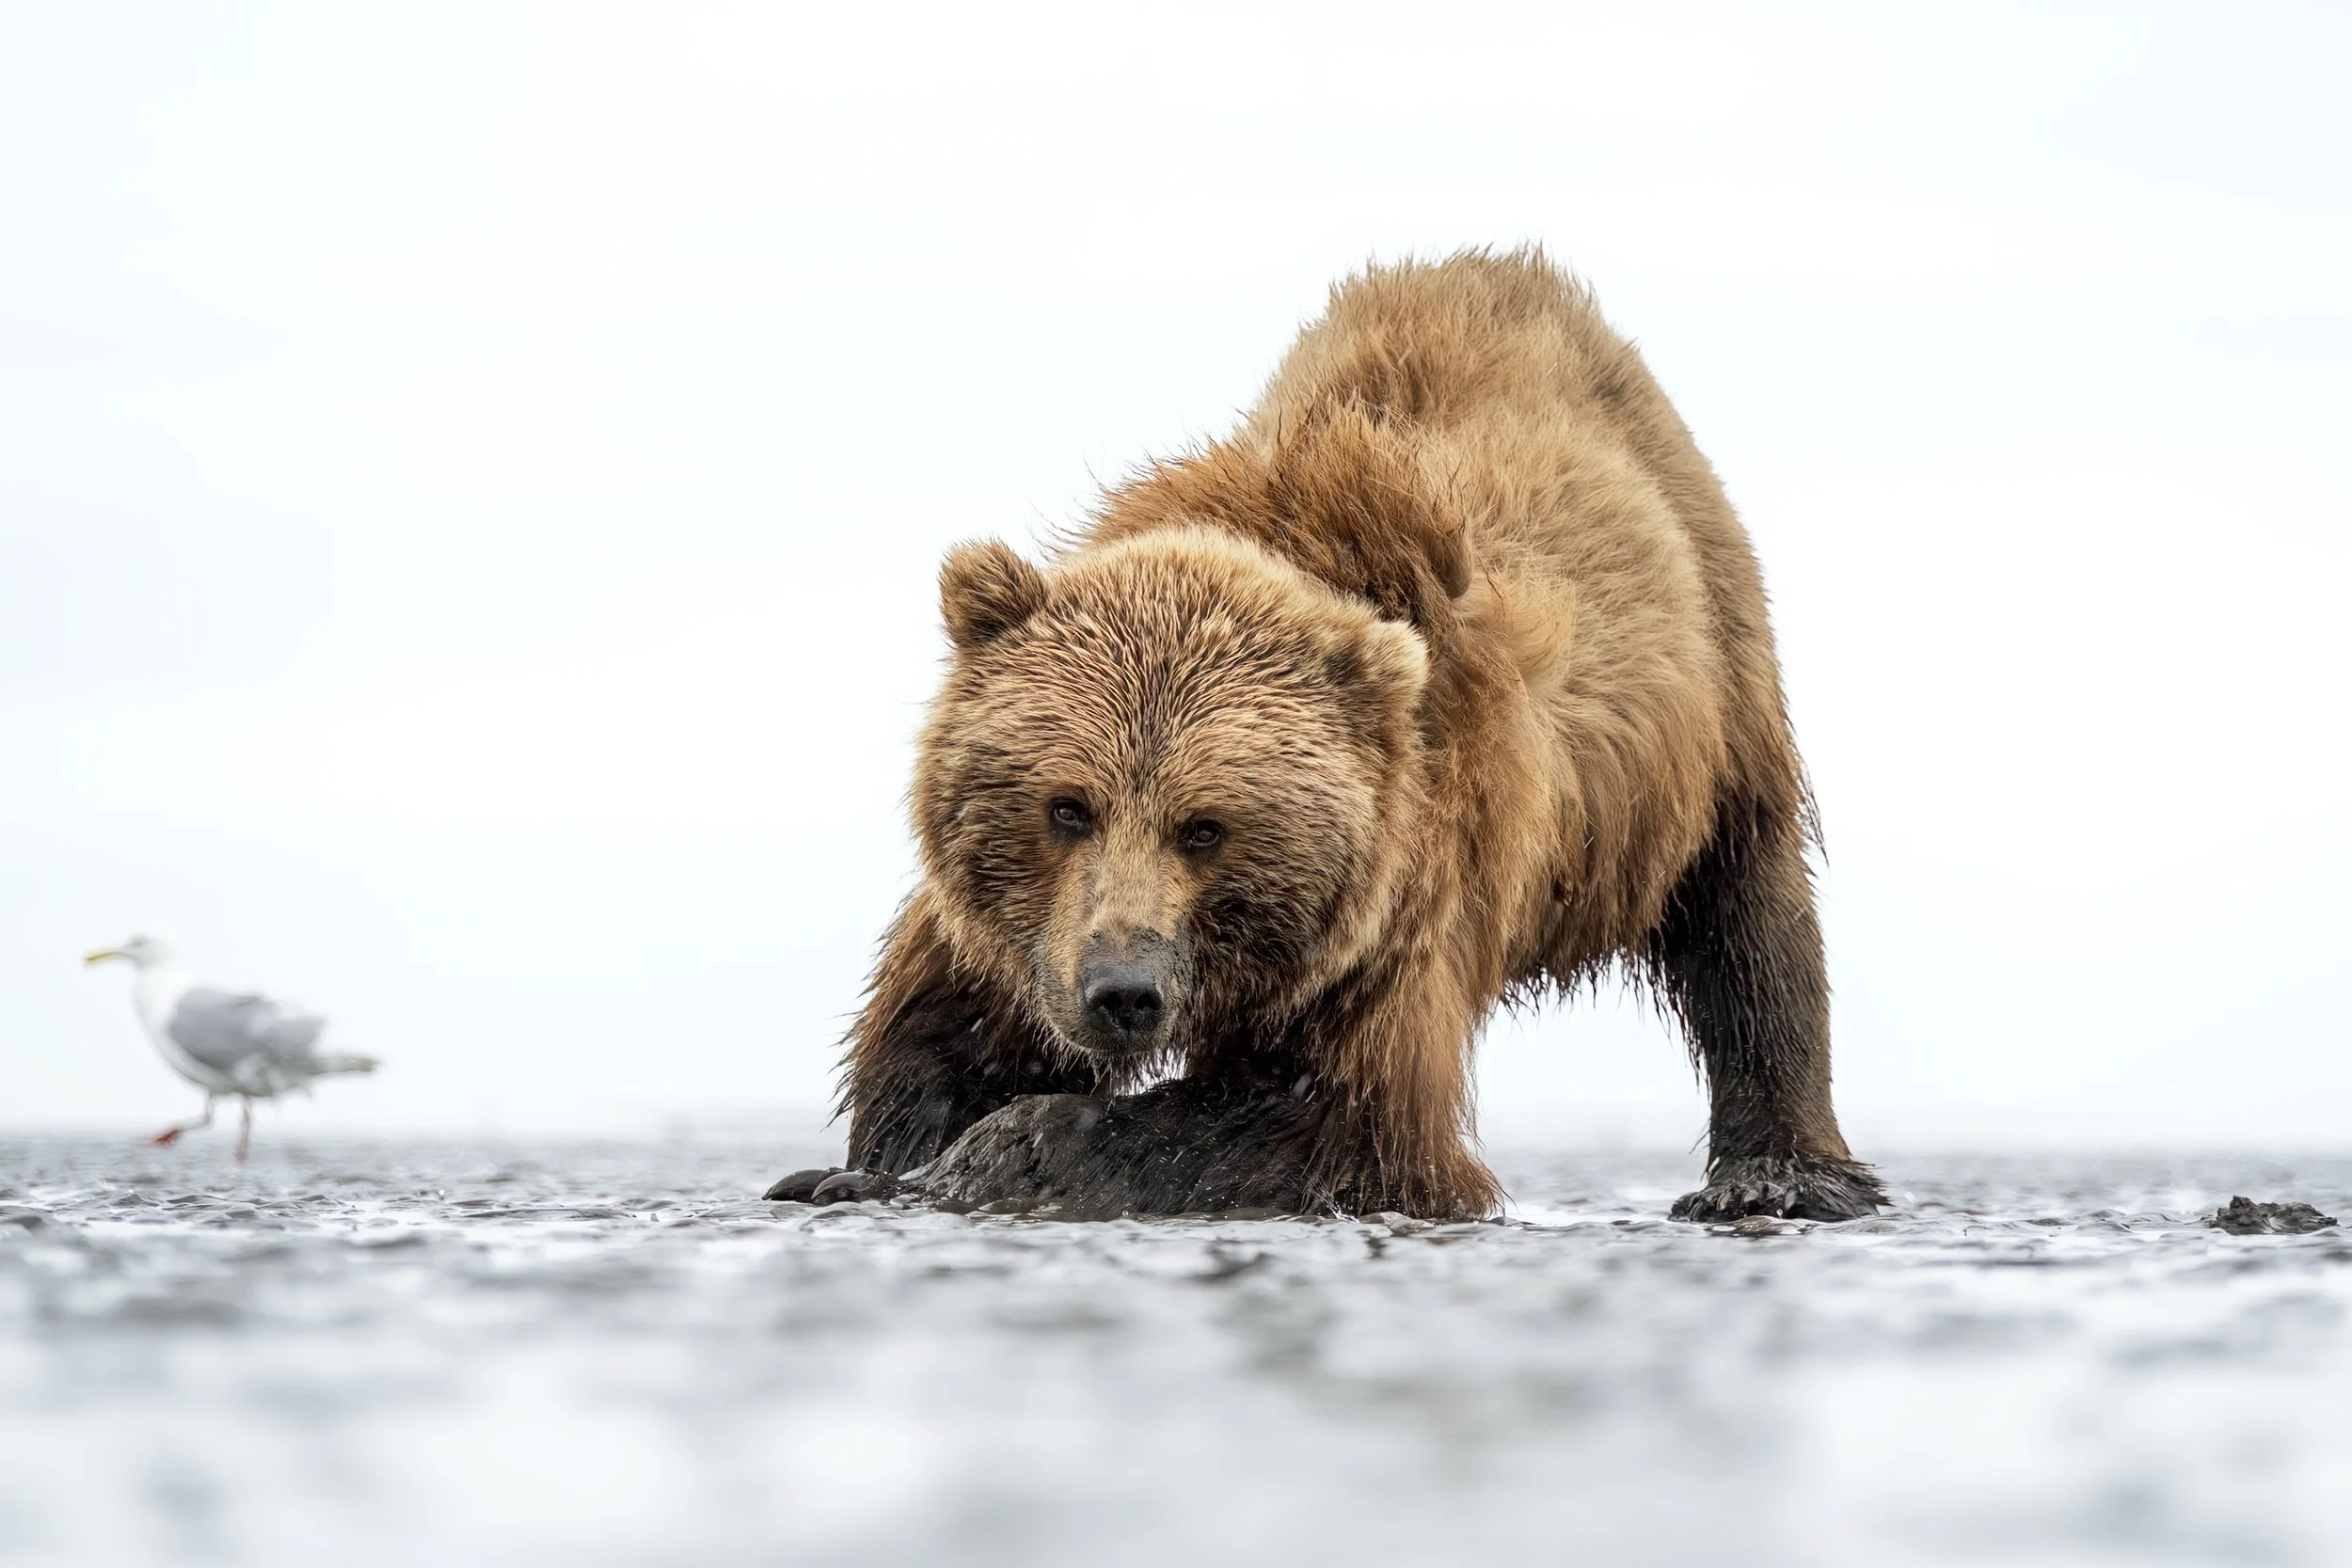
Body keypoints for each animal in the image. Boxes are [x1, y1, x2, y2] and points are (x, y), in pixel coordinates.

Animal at [771, 249, 1884, 1224]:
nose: (1124, 991)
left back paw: (1775, 1176)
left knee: (1750, 922)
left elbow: (1341, 1121)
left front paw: (1008, 1149)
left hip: (1714, 705)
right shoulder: (1018, 929)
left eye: (1205, 825)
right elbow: (944, 1023)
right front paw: (864, 1167)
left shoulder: (1403, 906)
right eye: (1066, 806)